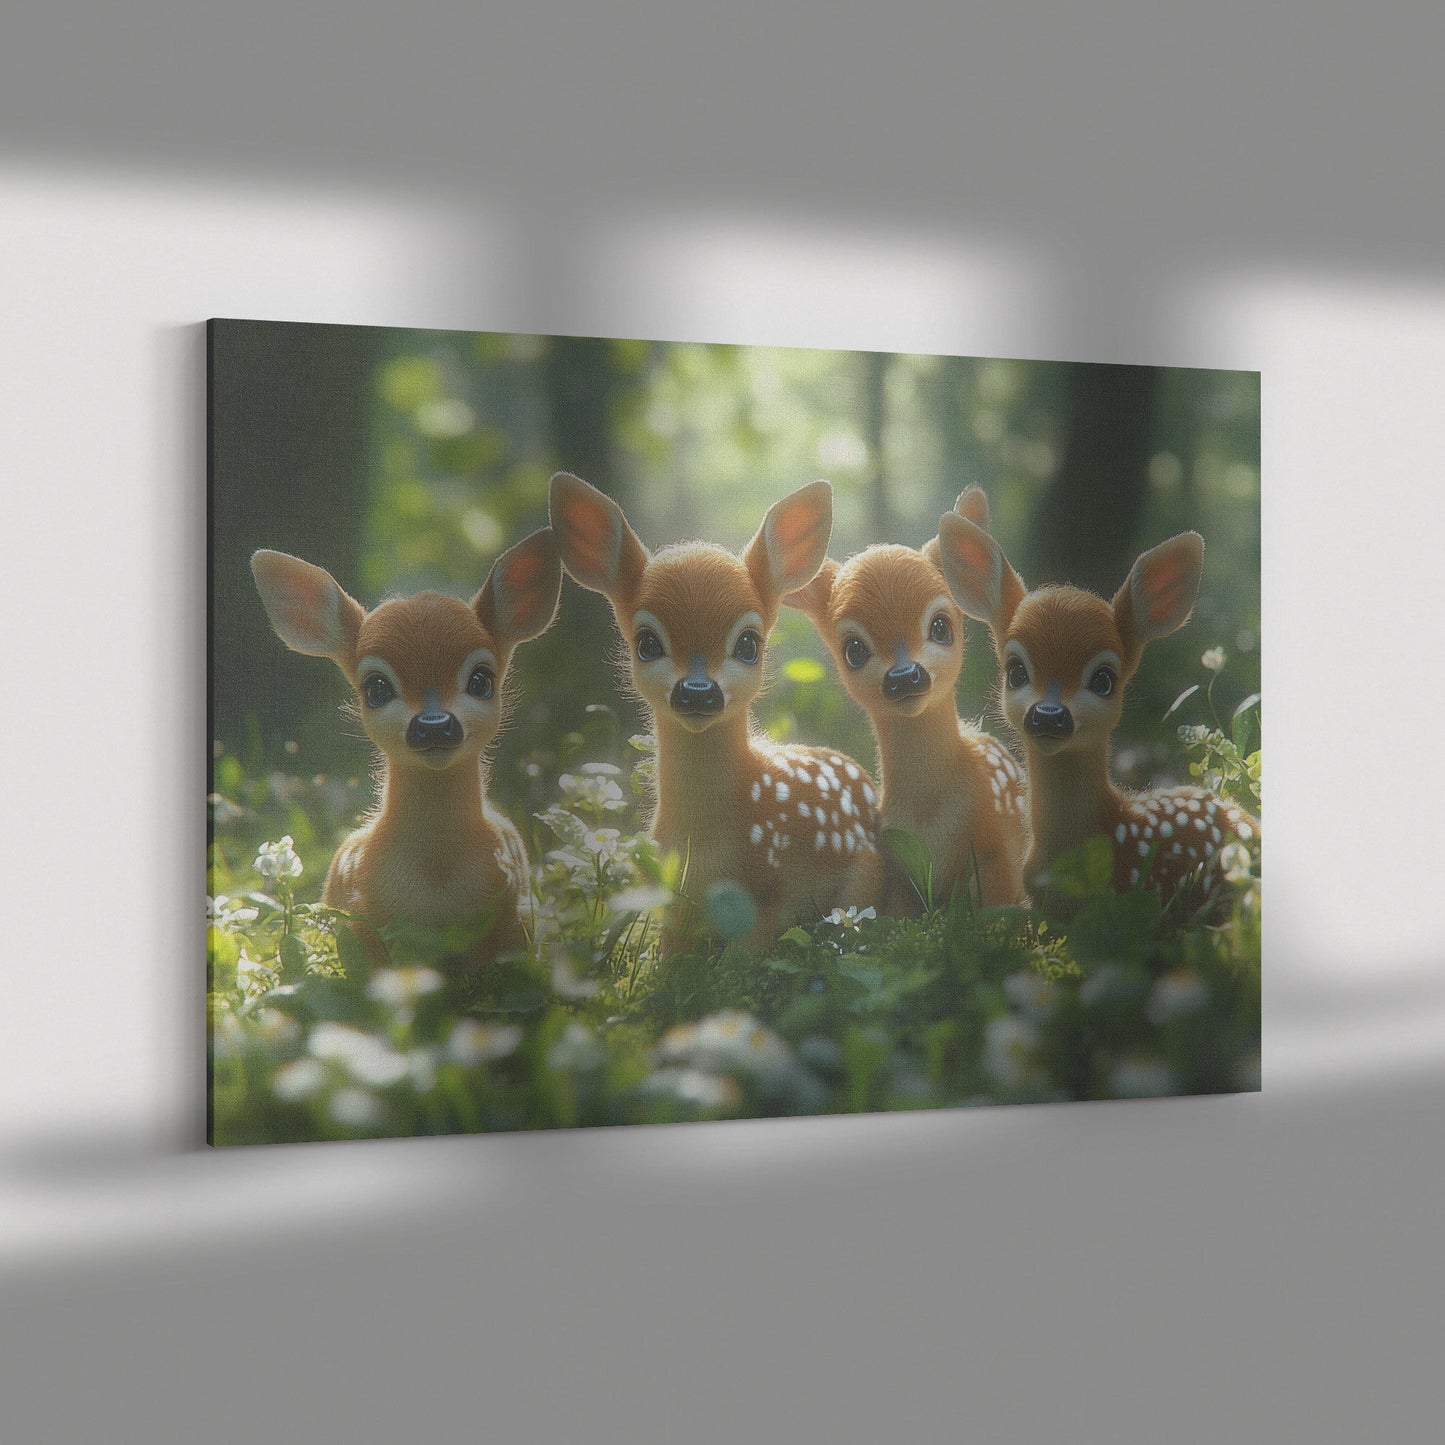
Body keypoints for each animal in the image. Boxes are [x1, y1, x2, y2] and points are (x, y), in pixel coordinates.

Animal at [251, 527, 562, 968]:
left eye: (481, 679)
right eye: (376, 687)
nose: (434, 725)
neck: (436, 878)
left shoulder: (514, 918)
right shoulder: (362, 923)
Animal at [548, 472, 883, 949]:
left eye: (748, 643)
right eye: (646, 642)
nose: (698, 691)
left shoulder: (776, 889)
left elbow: (747, 950)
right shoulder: (671, 895)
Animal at [784, 486, 1027, 912]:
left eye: (941, 626)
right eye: (854, 649)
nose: (904, 675)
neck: (931, 813)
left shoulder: (997, 849)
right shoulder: (898, 869)